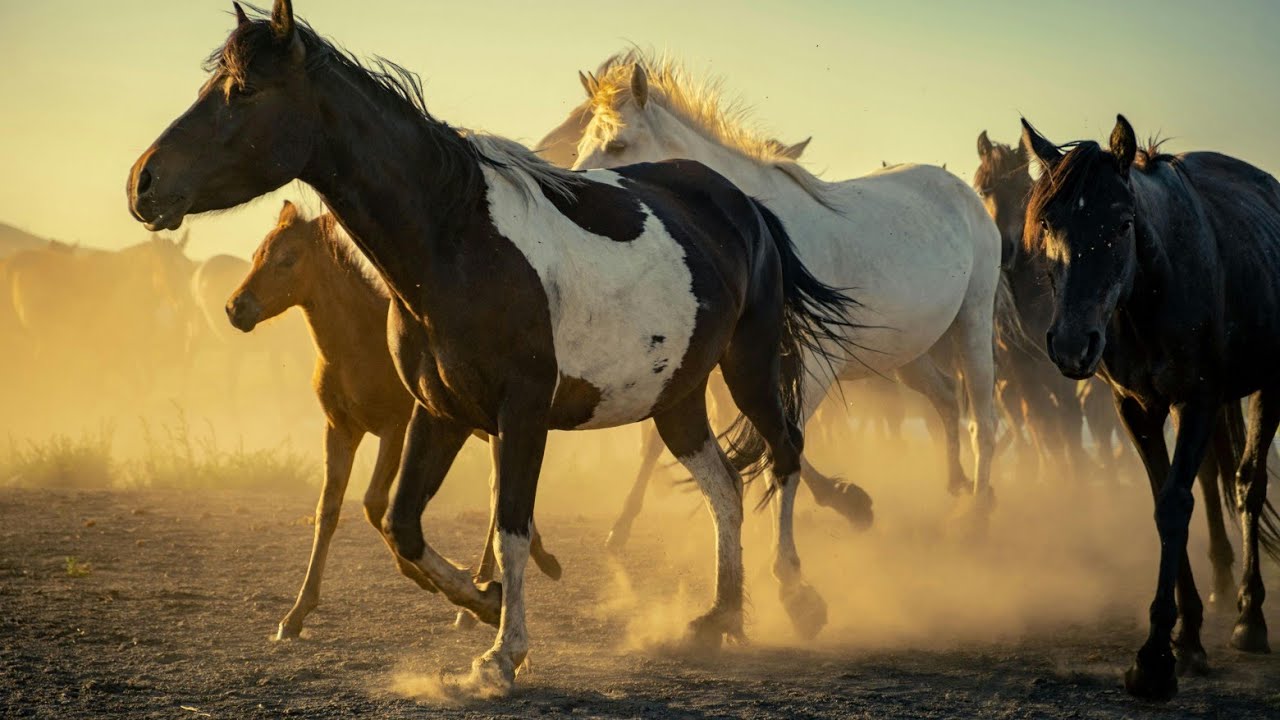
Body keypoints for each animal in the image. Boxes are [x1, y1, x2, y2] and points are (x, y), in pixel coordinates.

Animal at [226, 201, 559, 640]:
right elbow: (327, 510)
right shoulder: (340, 430)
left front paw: (421, 576)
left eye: (288, 259)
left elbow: (372, 502)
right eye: (256, 255)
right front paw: (295, 615)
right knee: (498, 496)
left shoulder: (395, 429)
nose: (236, 308)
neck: (356, 345)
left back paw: (483, 595)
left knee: (496, 499)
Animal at [567, 51, 1001, 617]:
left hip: (974, 321)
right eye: (580, 144)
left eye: (617, 144)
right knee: (948, 399)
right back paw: (955, 488)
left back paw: (977, 515)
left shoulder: (805, 367)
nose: (570, 201)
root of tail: (961, 191)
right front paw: (847, 505)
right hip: (909, 352)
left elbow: (782, 446)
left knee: (983, 420)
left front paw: (793, 575)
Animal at [1020, 114, 1280, 700]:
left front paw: (1156, 657)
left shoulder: (1199, 398)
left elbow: (1174, 506)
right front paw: (1187, 638)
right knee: (1214, 478)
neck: (1151, 293)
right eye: (1047, 223)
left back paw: (1250, 616)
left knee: (1247, 484)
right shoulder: (1137, 409)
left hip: (1270, 387)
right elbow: (1167, 497)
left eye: (1122, 224)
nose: (1071, 344)